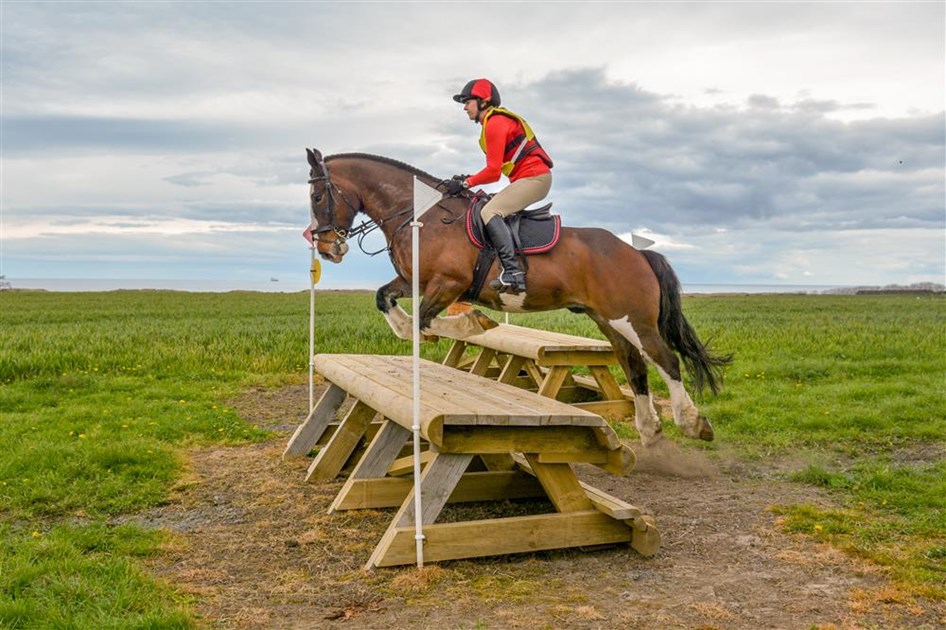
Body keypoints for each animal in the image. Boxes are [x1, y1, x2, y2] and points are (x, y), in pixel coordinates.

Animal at [306, 148, 731, 445]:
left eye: (317, 197)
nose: (326, 248)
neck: (415, 213)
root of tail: (637, 253)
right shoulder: (415, 280)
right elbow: (387, 300)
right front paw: (420, 329)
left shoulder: (448, 282)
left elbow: (427, 318)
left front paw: (472, 322)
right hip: (608, 320)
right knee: (635, 366)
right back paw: (650, 431)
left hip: (632, 318)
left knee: (665, 360)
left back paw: (692, 423)